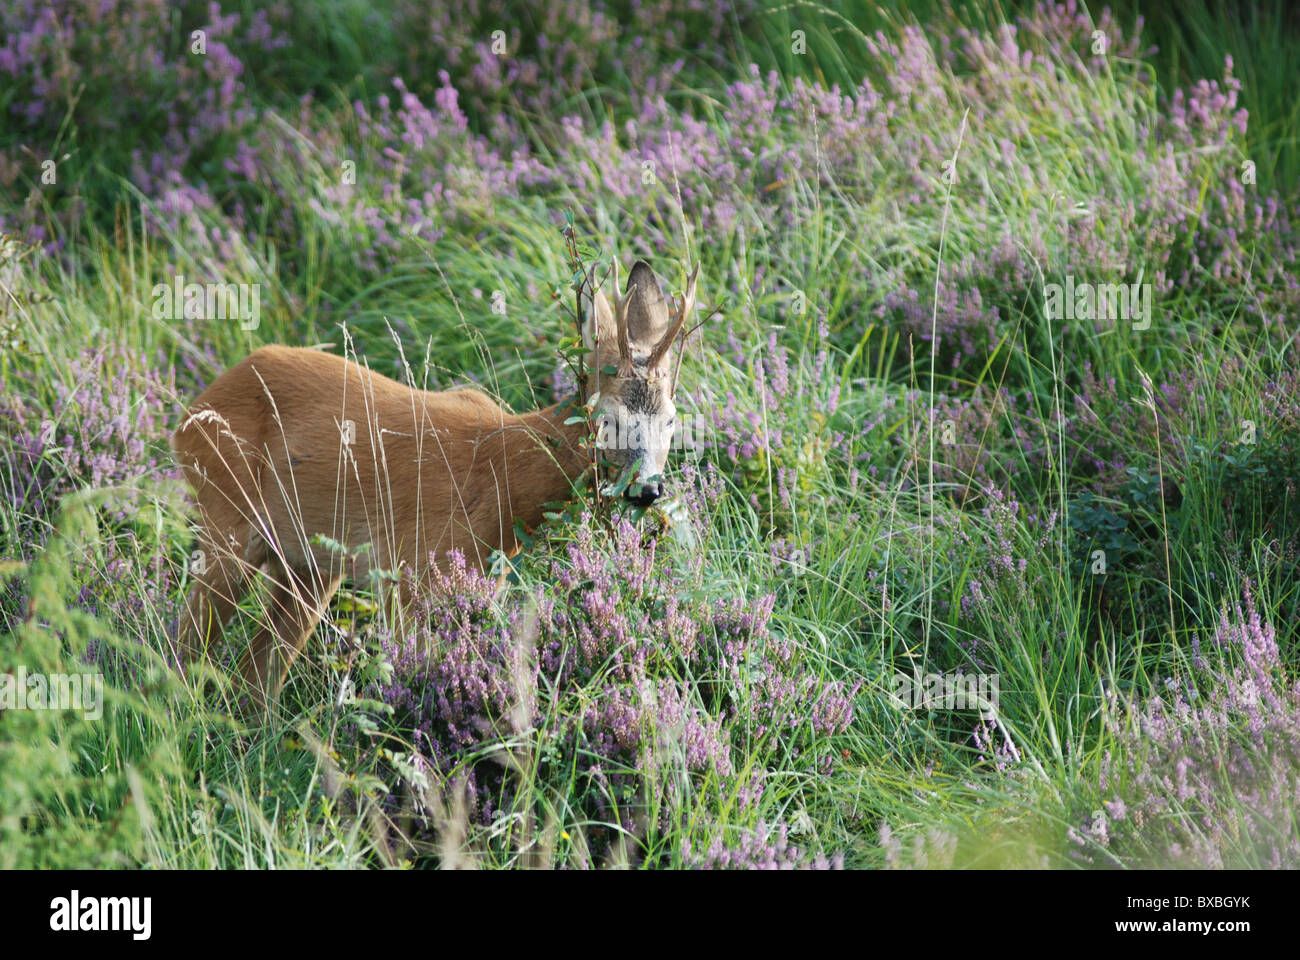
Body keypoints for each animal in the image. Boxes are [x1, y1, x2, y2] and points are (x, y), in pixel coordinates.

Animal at [171, 259, 699, 711]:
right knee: (188, 646)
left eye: (672, 419)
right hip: (227, 515)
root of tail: (191, 413)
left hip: (310, 564)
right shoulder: (409, 573)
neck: (505, 480)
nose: (647, 490)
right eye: (608, 418)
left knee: (256, 672)